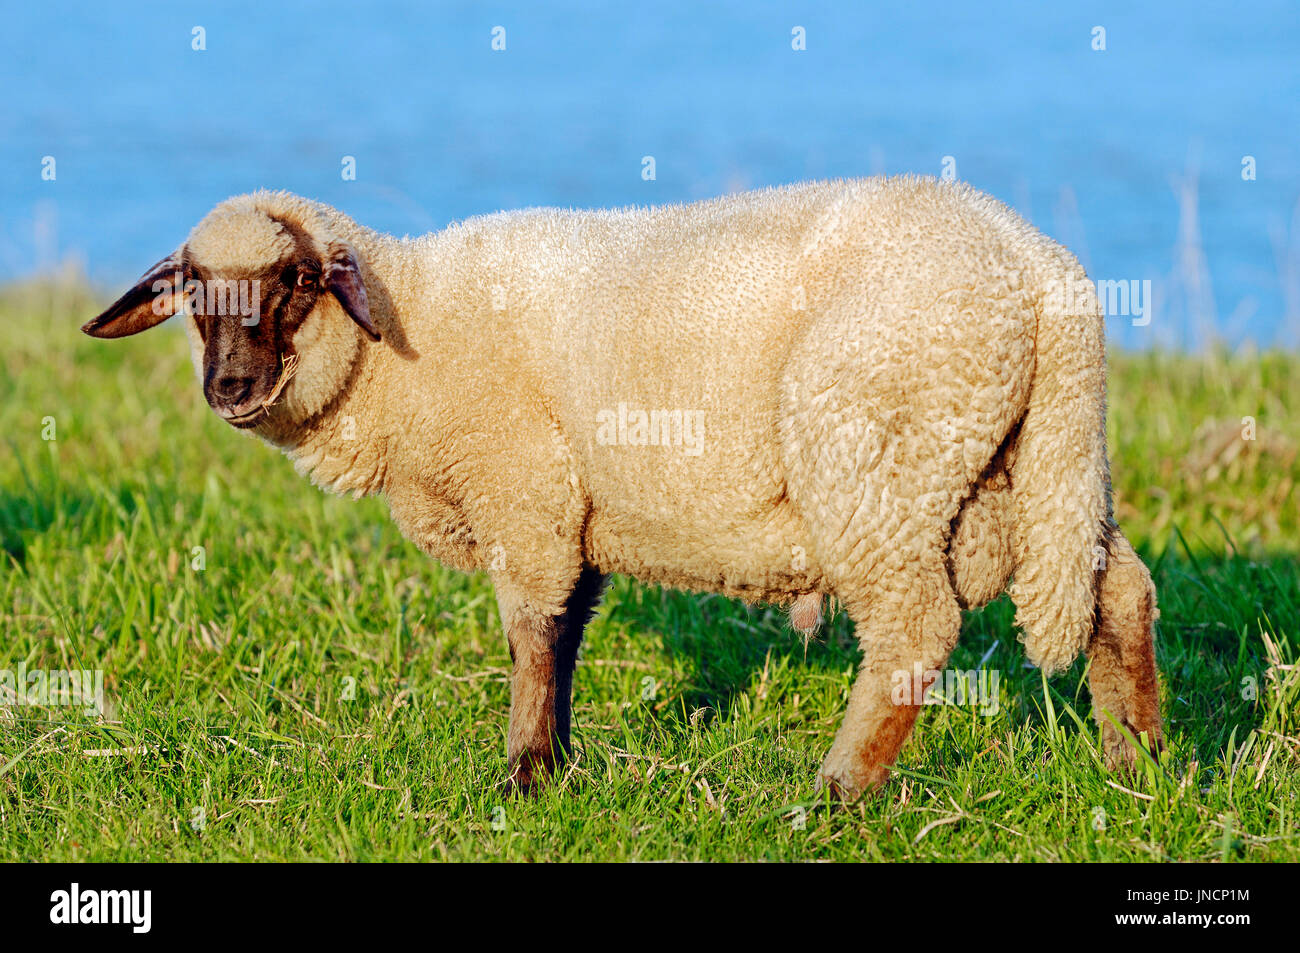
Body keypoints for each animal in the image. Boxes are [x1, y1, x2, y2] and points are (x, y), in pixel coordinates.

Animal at [82, 177, 1163, 798]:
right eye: (191, 291)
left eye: (298, 284)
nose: (229, 389)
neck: (409, 331)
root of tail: (1045, 274)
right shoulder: (577, 509)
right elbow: (565, 631)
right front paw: (557, 762)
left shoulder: (522, 490)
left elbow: (528, 634)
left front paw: (521, 776)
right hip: (1032, 468)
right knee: (1118, 590)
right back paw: (1137, 759)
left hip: (879, 465)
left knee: (914, 629)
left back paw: (836, 791)